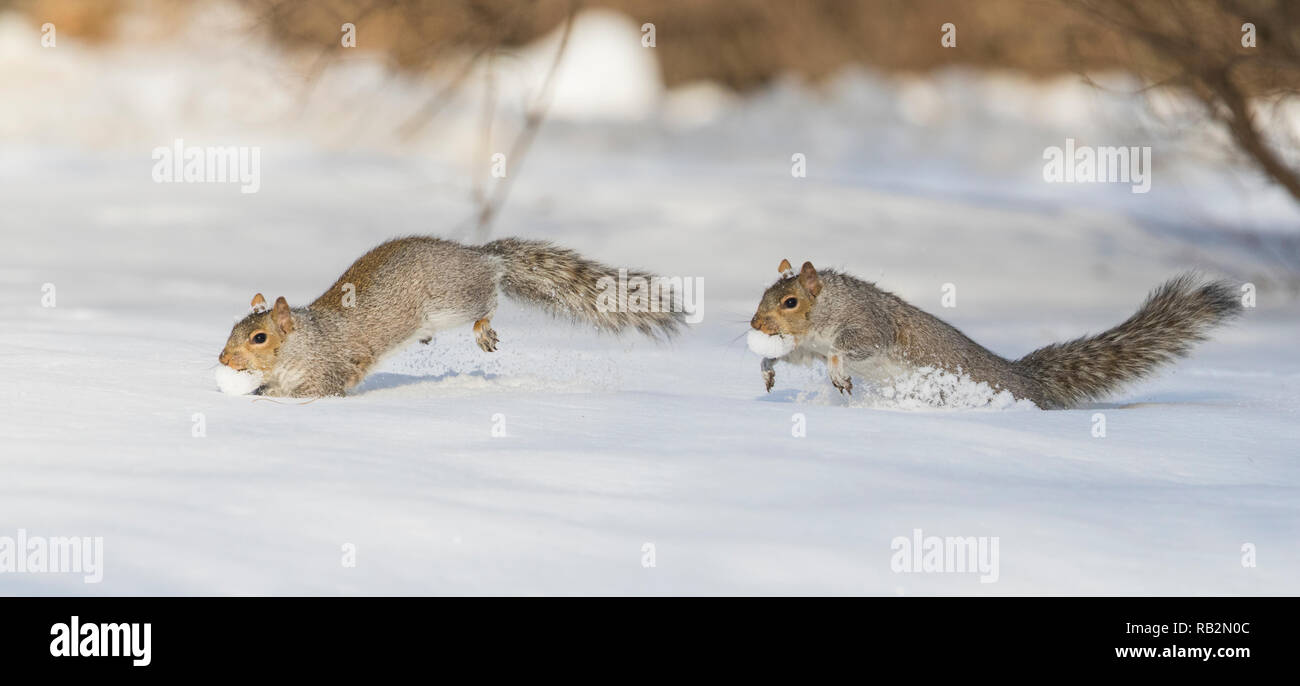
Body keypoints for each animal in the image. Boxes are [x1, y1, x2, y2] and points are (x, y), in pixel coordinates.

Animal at [218, 236, 682, 397]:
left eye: (259, 338)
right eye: (233, 328)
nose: (223, 359)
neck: (303, 341)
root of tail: (481, 255)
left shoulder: (328, 371)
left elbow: (314, 392)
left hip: (454, 301)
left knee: (488, 301)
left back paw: (484, 329)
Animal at [749, 259, 1242, 409]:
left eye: (790, 302)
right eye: (764, 294)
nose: (755, 325)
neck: (824, 311)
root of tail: (1025, 381)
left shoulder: (870, 323)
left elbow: (852, 346)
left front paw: (838, 370)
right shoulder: (807, 347)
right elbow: (793, 357)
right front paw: (767, 365)